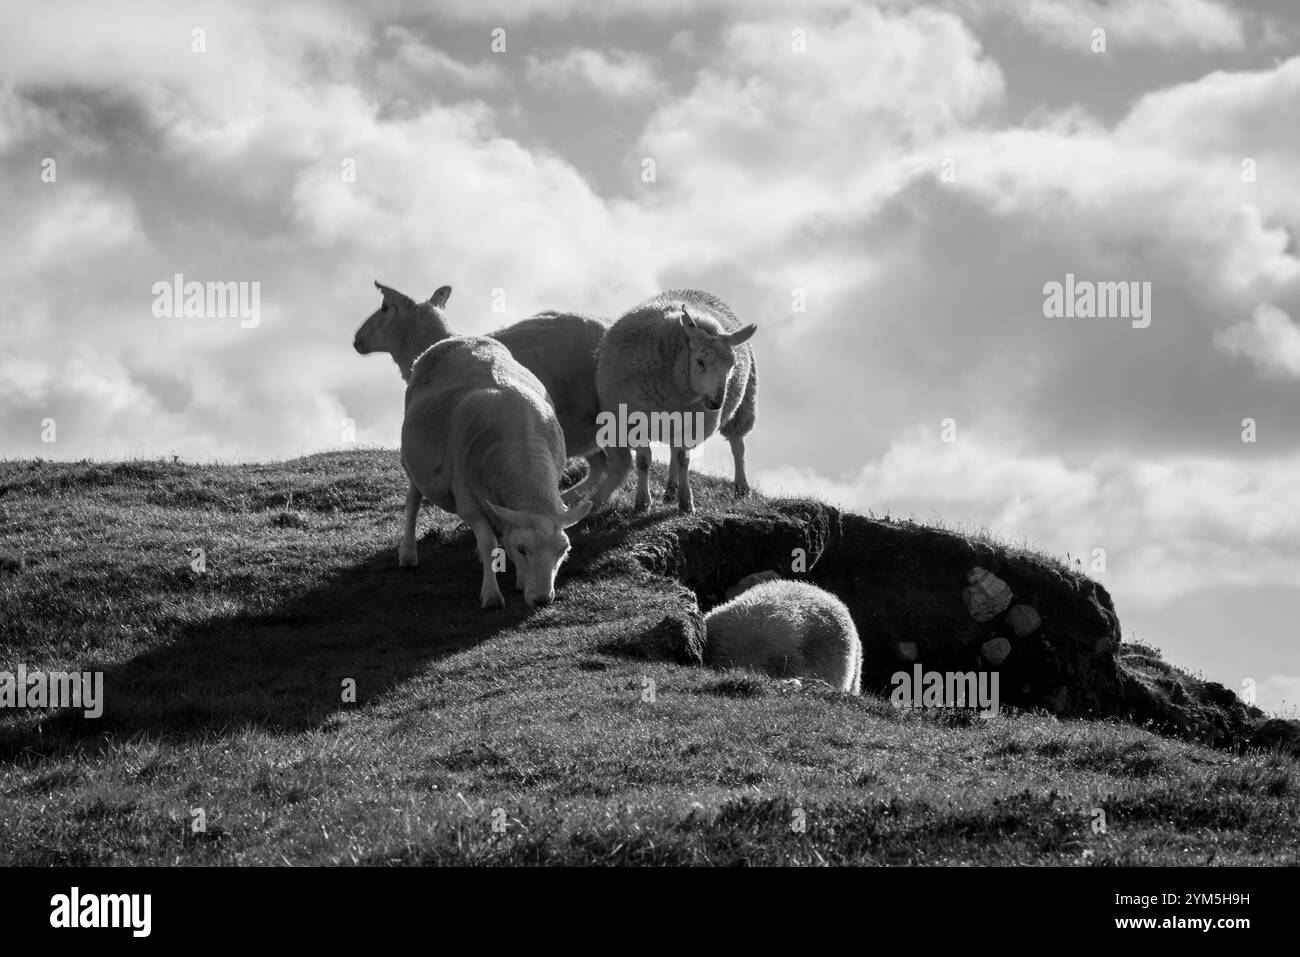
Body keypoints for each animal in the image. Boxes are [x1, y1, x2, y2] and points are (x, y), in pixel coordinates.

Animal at [399, 334, 591, 609]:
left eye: (563, 550)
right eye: (522, 549)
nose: (542, 600)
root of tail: (460, 338)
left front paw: (519, 581)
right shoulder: (466, 497)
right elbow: (489, 543)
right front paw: (491, 595)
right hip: (413, 465)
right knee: (413, 503)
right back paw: (407, 554)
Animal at [592, 289, 757, 513]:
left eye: (732, 364)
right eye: (700, 362)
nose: (717, 403)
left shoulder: (691, 425)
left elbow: (683, 460)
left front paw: (686, 502)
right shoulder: (635, 420)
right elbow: (644, 460)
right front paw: (643, 502)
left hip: (743, 406)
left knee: (737, 446)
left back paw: (741, 488)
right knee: (673, 449)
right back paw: (670, 489)